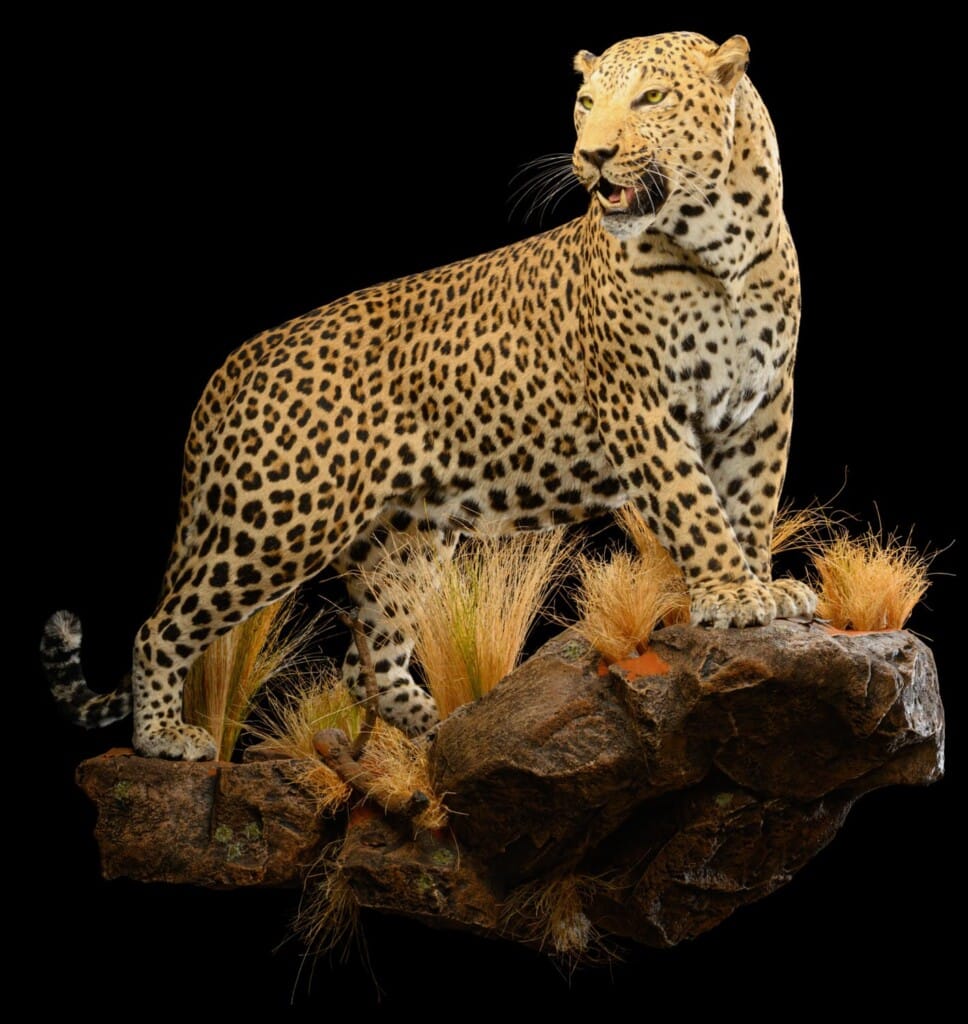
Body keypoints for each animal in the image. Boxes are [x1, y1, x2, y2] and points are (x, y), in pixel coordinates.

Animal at [41, 30, 816, 761]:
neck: (721, 246)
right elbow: (697, 509)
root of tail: (238, 361)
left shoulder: (763, 405)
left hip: (403, 541)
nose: (592, 155)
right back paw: (166, 738)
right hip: (279, 519)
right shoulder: (642, 409)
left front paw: (760, 585)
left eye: (652, 99)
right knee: (161, 627)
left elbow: (748, 504)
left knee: (366, 667)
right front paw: (733, 593)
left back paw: (453, 729)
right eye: (586, 103)